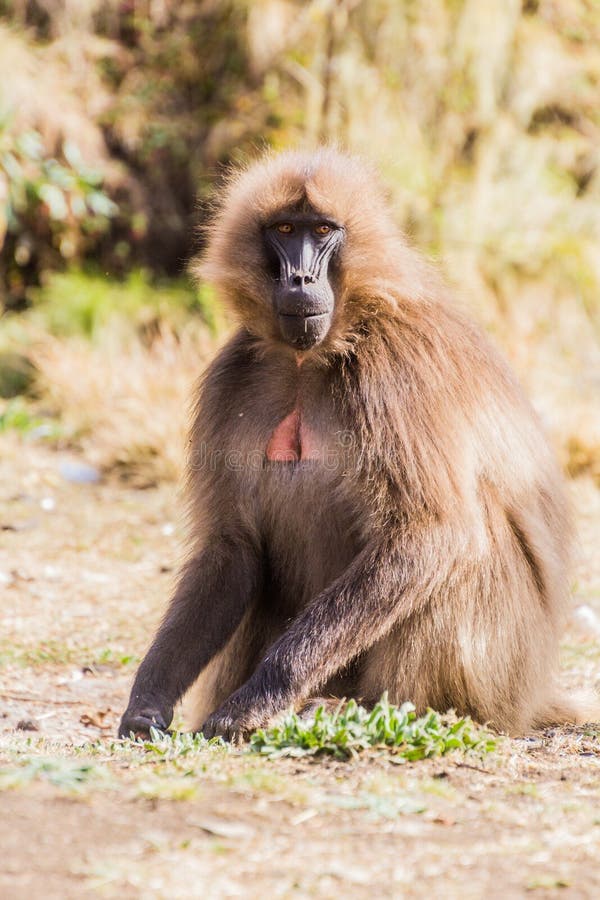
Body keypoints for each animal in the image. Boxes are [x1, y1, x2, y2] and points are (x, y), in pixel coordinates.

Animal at [119, 147, 597, 742]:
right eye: (284, 229)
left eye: (323, 231)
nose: (301, 277)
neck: (312, 356)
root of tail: (527, 699)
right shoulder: (232, 375)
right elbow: (232, 547)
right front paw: (147, 703)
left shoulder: (394, 369)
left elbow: (429, 532)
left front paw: (254, 701)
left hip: (496, 674)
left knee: (460, 544)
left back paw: (373, 708)